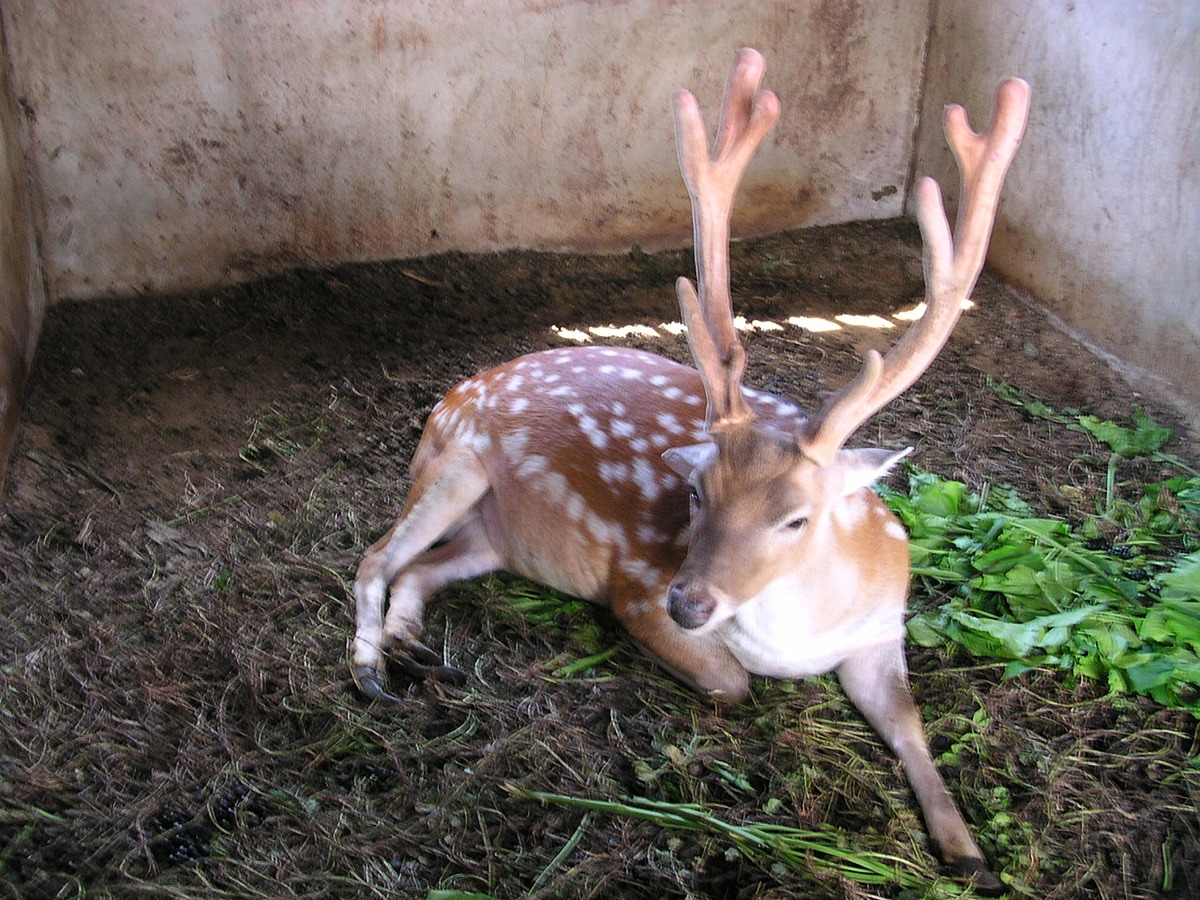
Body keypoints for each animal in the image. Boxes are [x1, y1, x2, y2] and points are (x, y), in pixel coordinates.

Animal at [352, 48, 1029, 895]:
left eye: (797, 517)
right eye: (698, 495)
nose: (690, 601)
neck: (799, 633)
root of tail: (453, 394)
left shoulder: (883, 630)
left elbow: (910, 723)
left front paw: (969, 852)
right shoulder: (636, 586)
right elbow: (731, 683)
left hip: (494, 539)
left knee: (420, 568)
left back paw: (413, 649)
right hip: (456, 462)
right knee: (374, 557)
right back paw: (370, 669)